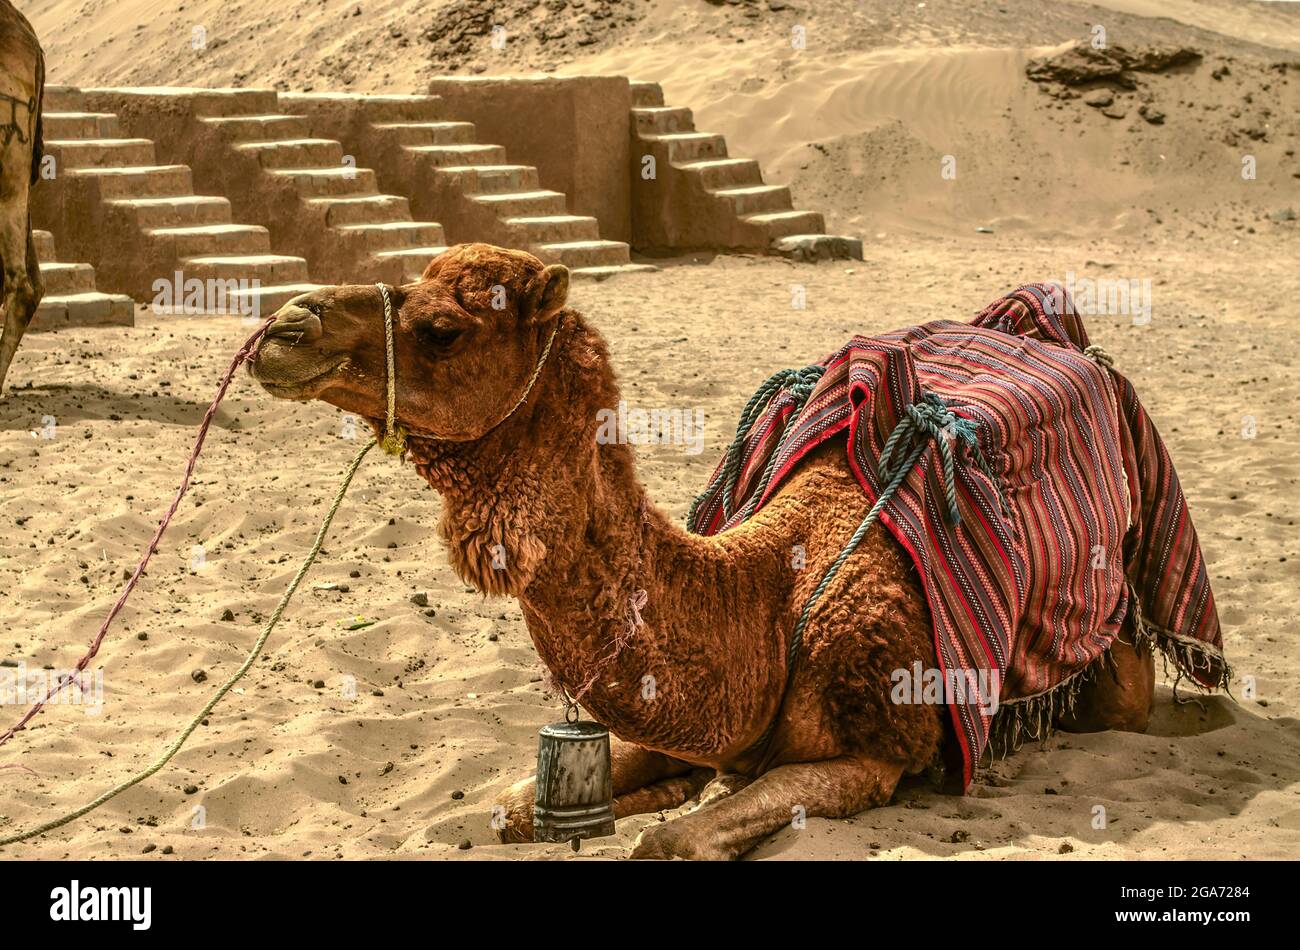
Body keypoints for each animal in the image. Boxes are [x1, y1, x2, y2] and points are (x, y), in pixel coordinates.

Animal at [249, 243, 1156, 860]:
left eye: (441, 328)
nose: (282, 327)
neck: (766, 599)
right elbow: (510, 807)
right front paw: (658, 787)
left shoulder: (882, 751)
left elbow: (671, 841)